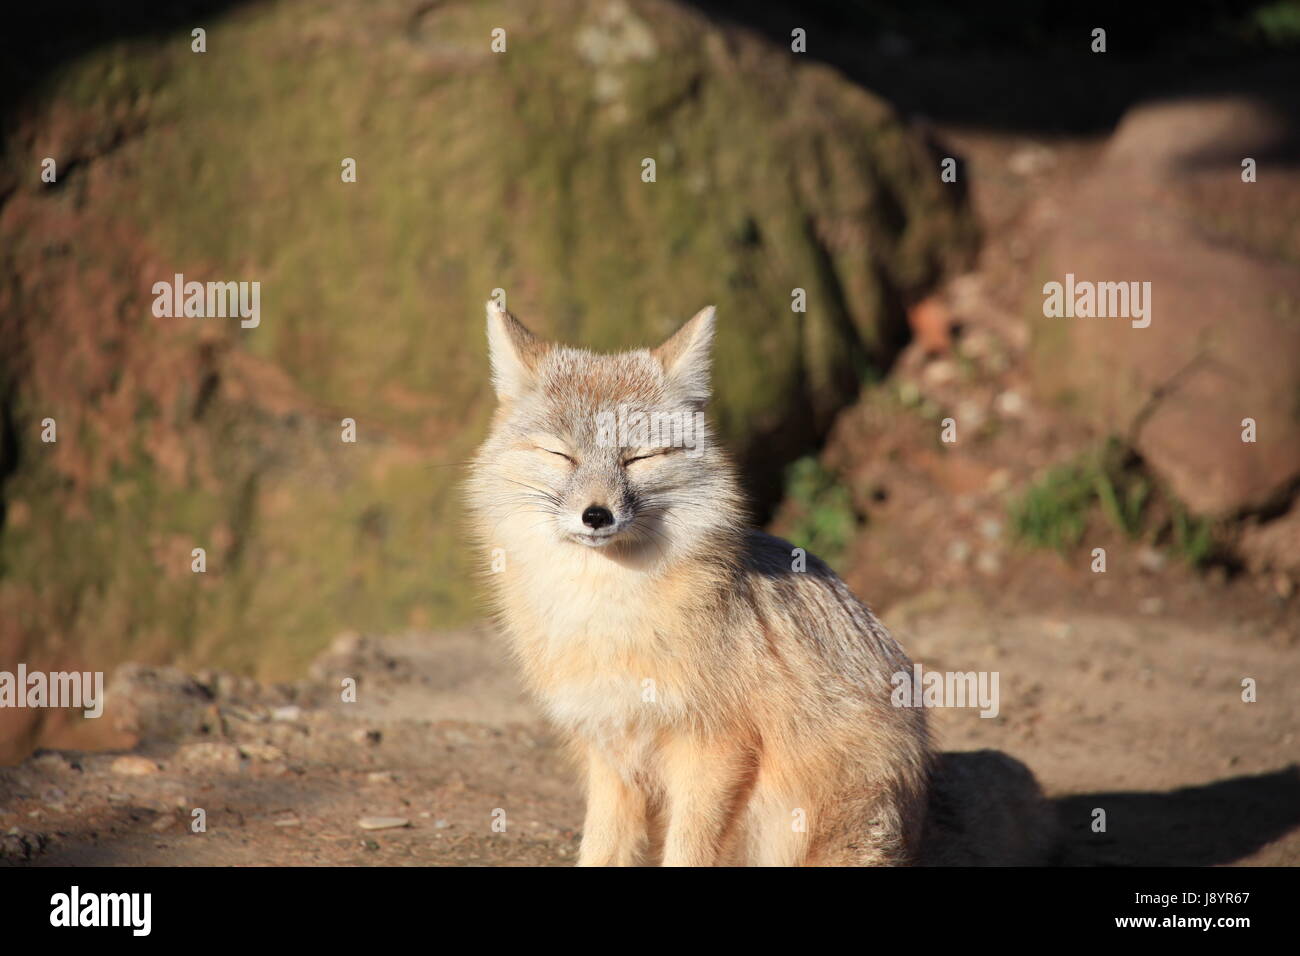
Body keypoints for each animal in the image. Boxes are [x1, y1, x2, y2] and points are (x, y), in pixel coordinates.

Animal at [466, 301, 932, 866]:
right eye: (562, 455)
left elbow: (687, 851)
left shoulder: (714, 749)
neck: (606, 614)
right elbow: (600, 849)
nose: (596, 515)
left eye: (638, 458)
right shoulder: (610, 753)